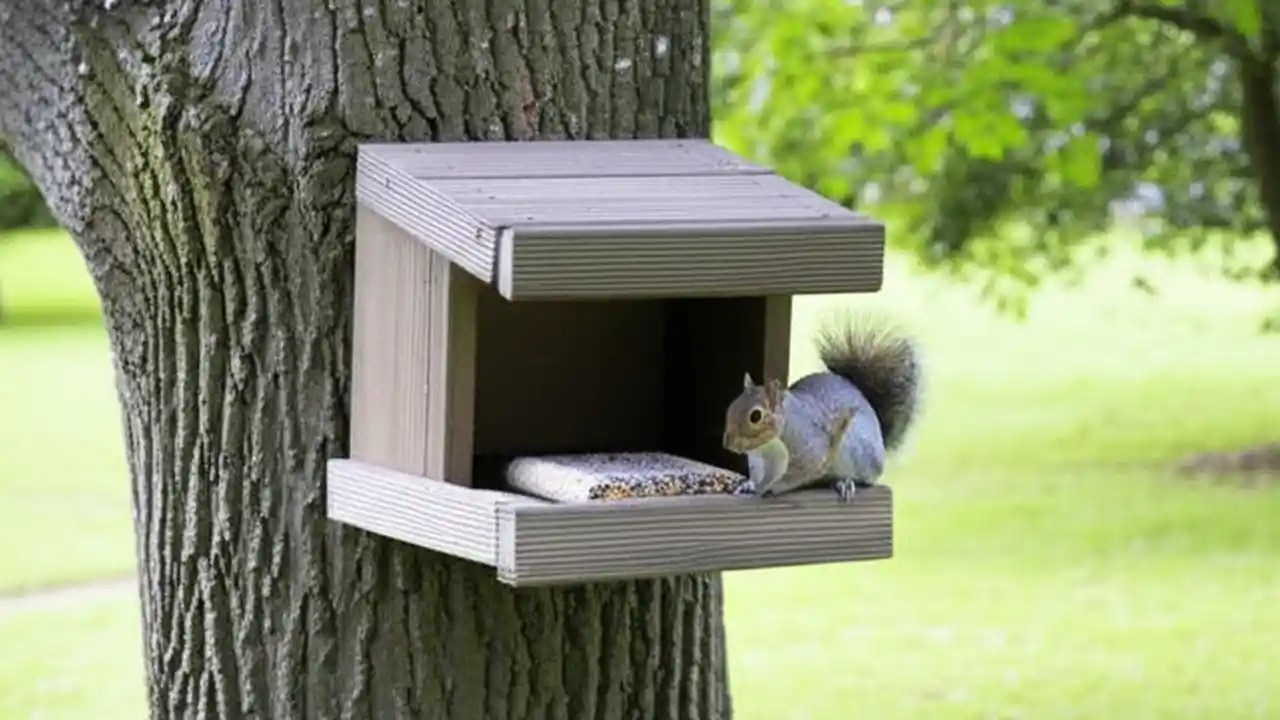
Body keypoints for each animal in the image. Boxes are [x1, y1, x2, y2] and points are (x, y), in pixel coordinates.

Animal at [721, 316, 922, 502]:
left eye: (756, 416)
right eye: (732, 406)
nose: (728, 444)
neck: (770, 445)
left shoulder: (810, 448)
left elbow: (801, 472)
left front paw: (771, 488)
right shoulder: (760, 460)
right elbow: (758, 475)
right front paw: (749, 485)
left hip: (855, 446)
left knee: (865, 479)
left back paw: (845, 482)